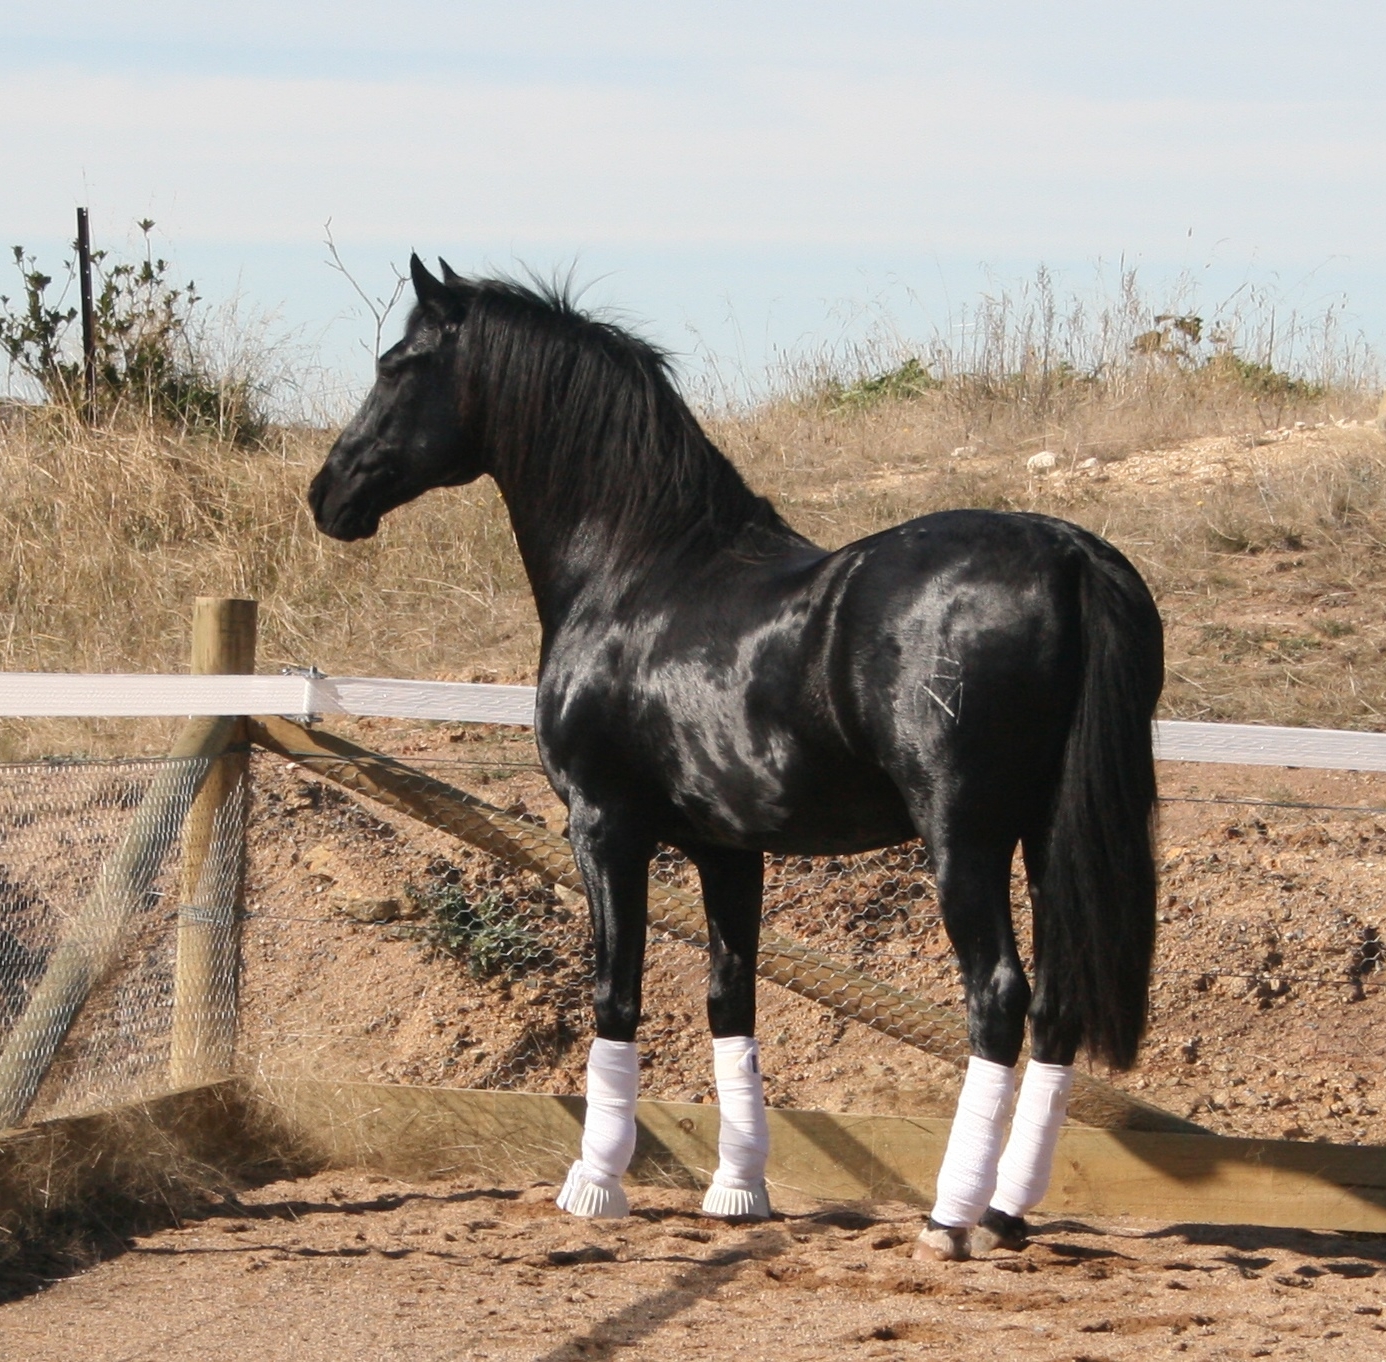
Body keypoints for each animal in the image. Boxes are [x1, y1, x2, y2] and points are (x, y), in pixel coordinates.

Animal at [309, 257, 1163, 1260]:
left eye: (397, 364)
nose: (327, 493)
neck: (636, 570)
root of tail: (1067, 551)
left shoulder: (604, 826)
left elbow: (616, 994)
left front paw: (594, 1185)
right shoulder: (729, 849)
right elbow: (731, 1002)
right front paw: (738, 1190)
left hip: (967, 838)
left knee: (997, 998)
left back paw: (949, 1219)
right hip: (1047, 837)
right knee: (1059, 1006)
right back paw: (1004, 1213)